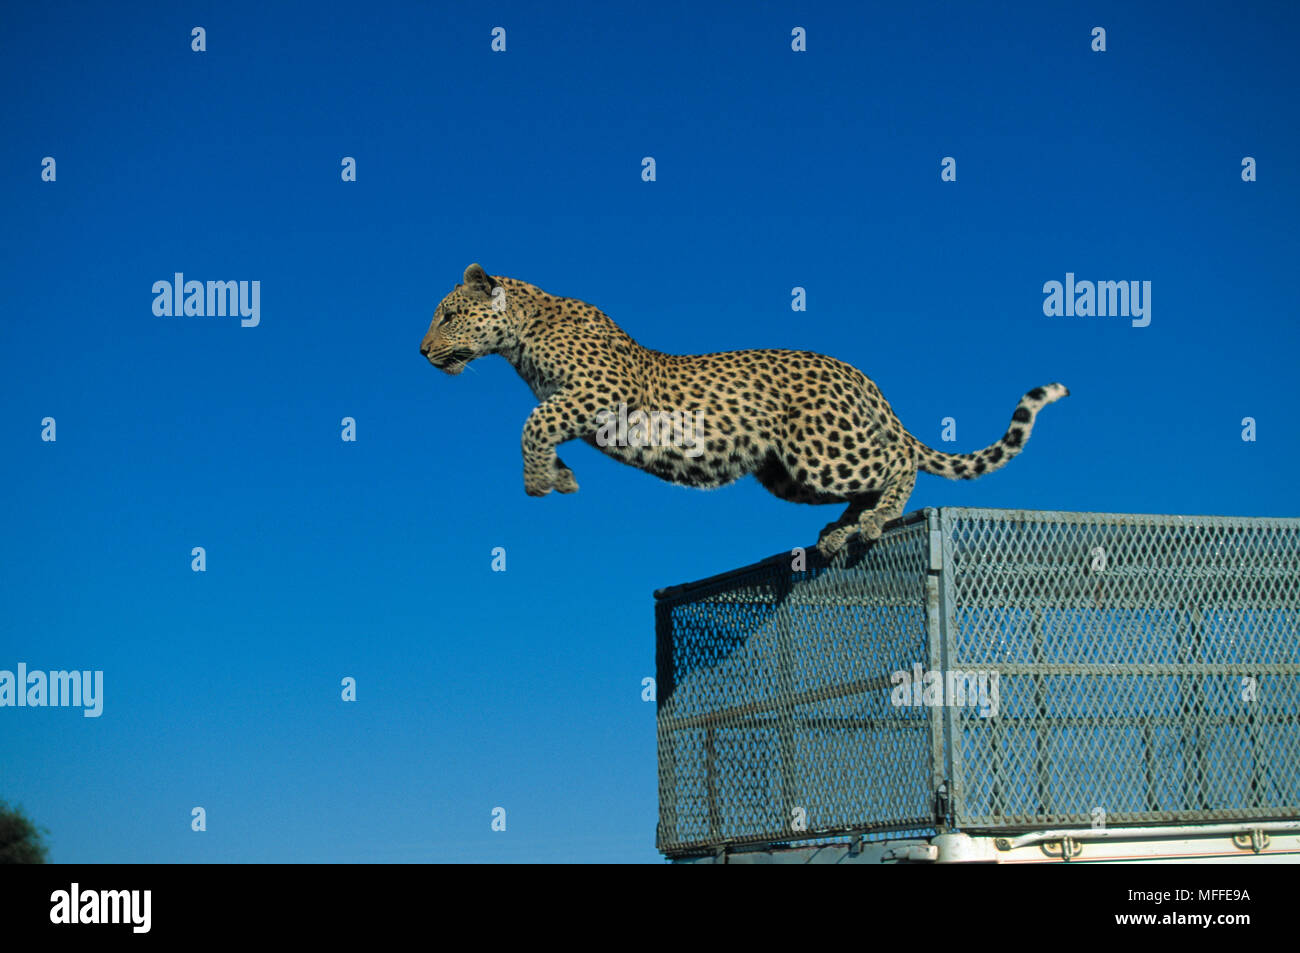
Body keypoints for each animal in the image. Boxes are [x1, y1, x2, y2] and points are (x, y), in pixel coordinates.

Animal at [420, 264, 1068, 557]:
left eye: (448, 315)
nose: (422, 350)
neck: (521, 335)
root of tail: (860, 375)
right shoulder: (577, 403)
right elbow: (544, 425)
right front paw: (561, 476)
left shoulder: (603, 394)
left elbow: (532, 423)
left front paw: (539, 481)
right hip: (788, 474)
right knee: (870, 475)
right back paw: (840, 529)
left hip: (820, 453)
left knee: (897, 463)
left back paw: (876, 520)